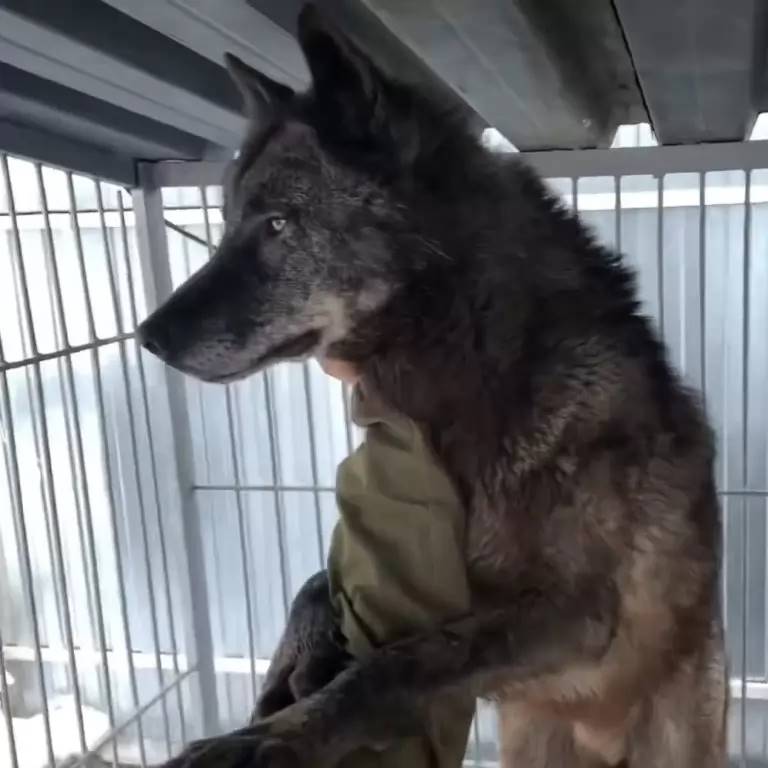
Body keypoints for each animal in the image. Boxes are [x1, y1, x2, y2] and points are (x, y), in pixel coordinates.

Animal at [138, 4, 727, 766]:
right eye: (228, 221)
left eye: (278, 224)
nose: (148, 335)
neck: (475, 367)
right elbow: (318, 581)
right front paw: (289, 672)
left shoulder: (575, 610)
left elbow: (401, 661)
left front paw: (273, 740)